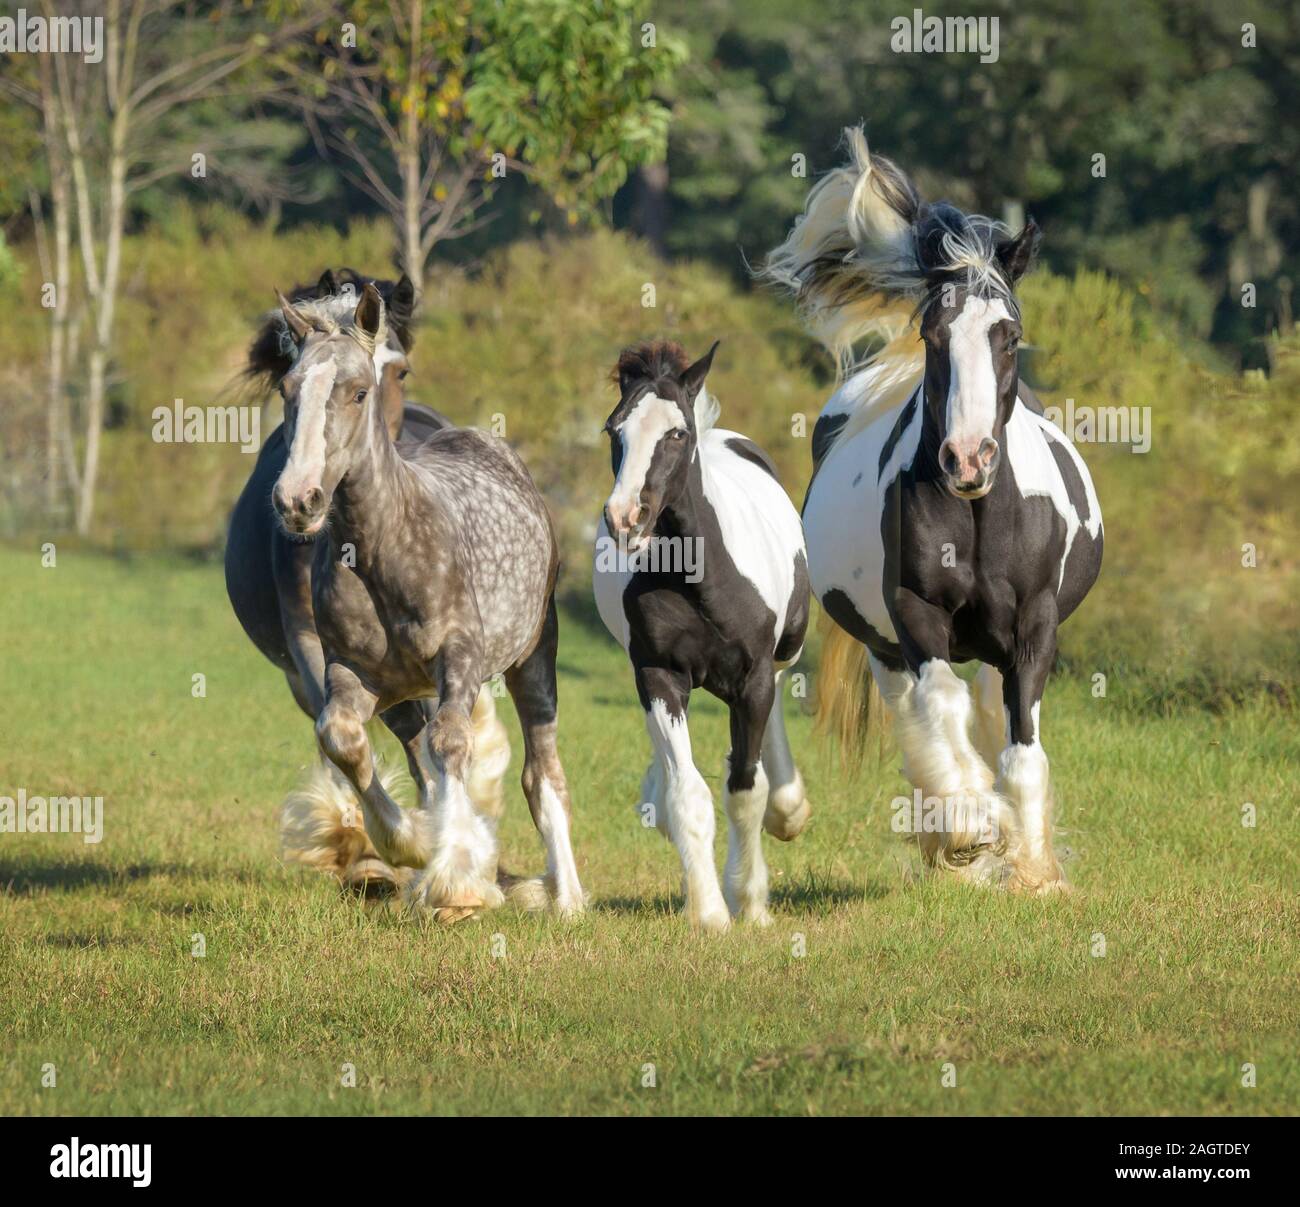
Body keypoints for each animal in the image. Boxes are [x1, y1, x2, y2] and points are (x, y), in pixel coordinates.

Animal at [268, 281, 583, 920]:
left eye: (357, 391)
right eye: (288, 390)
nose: (297, 500)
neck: (384, 549)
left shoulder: (459, 660)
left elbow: (451, 743)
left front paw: (459, 879)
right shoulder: (352, 673)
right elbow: (341, 738)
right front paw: (413, 844)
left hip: (533, 660)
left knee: (542, 775)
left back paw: (566, 897)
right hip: (404, 693)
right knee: (423, 758)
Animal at [593, 340, 811, 930]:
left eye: (675, 433)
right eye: (614, 430)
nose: (626, 518)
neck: (700, 580)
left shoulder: (754, 678)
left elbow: (745, 790)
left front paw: (751, 905)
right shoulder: (659, 674)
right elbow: (689, 791)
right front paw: (710, 911)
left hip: (778, 661)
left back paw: (789, 810)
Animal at [761, 129, 1102, 892]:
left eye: (1009, 333)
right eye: (933, 332)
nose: (967, 460)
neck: (979, 522)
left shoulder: (1035, 626)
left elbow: (1021, 744)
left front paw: (1032, 870)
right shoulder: (915, 617)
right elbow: (938, 710)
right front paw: (970, 830)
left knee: (988, 709)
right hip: (884, 642)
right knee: (918, 714)